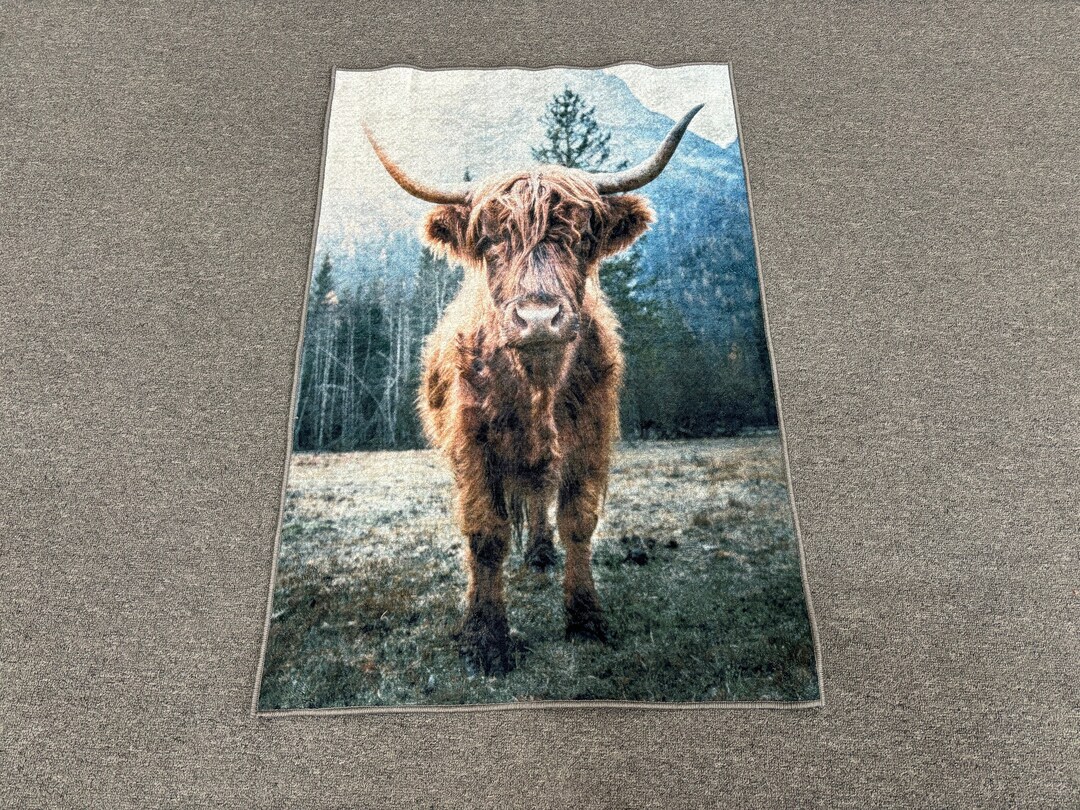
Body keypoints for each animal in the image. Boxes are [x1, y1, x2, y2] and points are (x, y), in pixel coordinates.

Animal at [364, 106, 702, 674]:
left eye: (581, 238)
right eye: (489, 242)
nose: (539, 317)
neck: (536, 385)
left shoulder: (590, 439)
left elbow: (578, 522)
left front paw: (585, 618)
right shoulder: (472, 446)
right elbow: (486, 534)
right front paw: (485, 637)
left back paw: (543, 554)